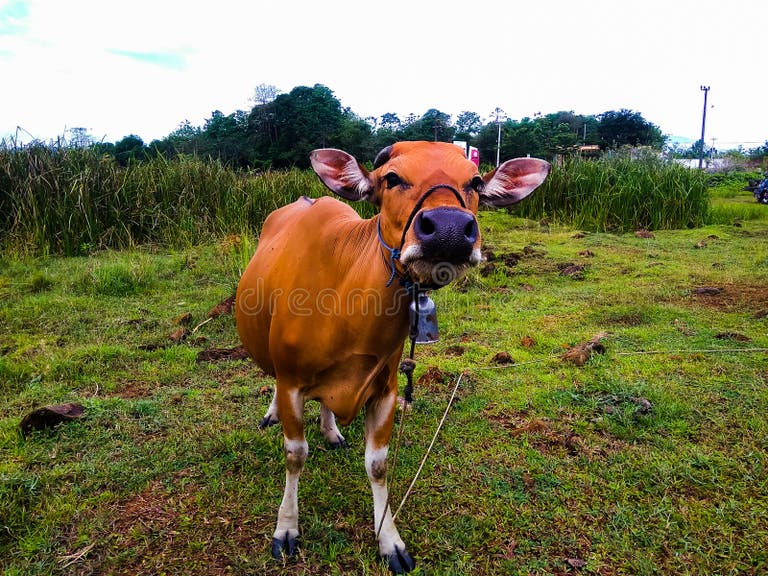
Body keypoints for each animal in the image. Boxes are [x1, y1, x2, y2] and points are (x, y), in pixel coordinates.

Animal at [235, 141, 550, 573]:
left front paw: (389, 540)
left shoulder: (385, 391)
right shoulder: (292, 382)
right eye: (392, 178)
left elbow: (378, 464)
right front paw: (286, 529)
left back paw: (331, 430)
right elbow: (295, 455)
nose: (449, 228)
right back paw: (274, 414)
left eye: (475, 182)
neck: (345, 305)